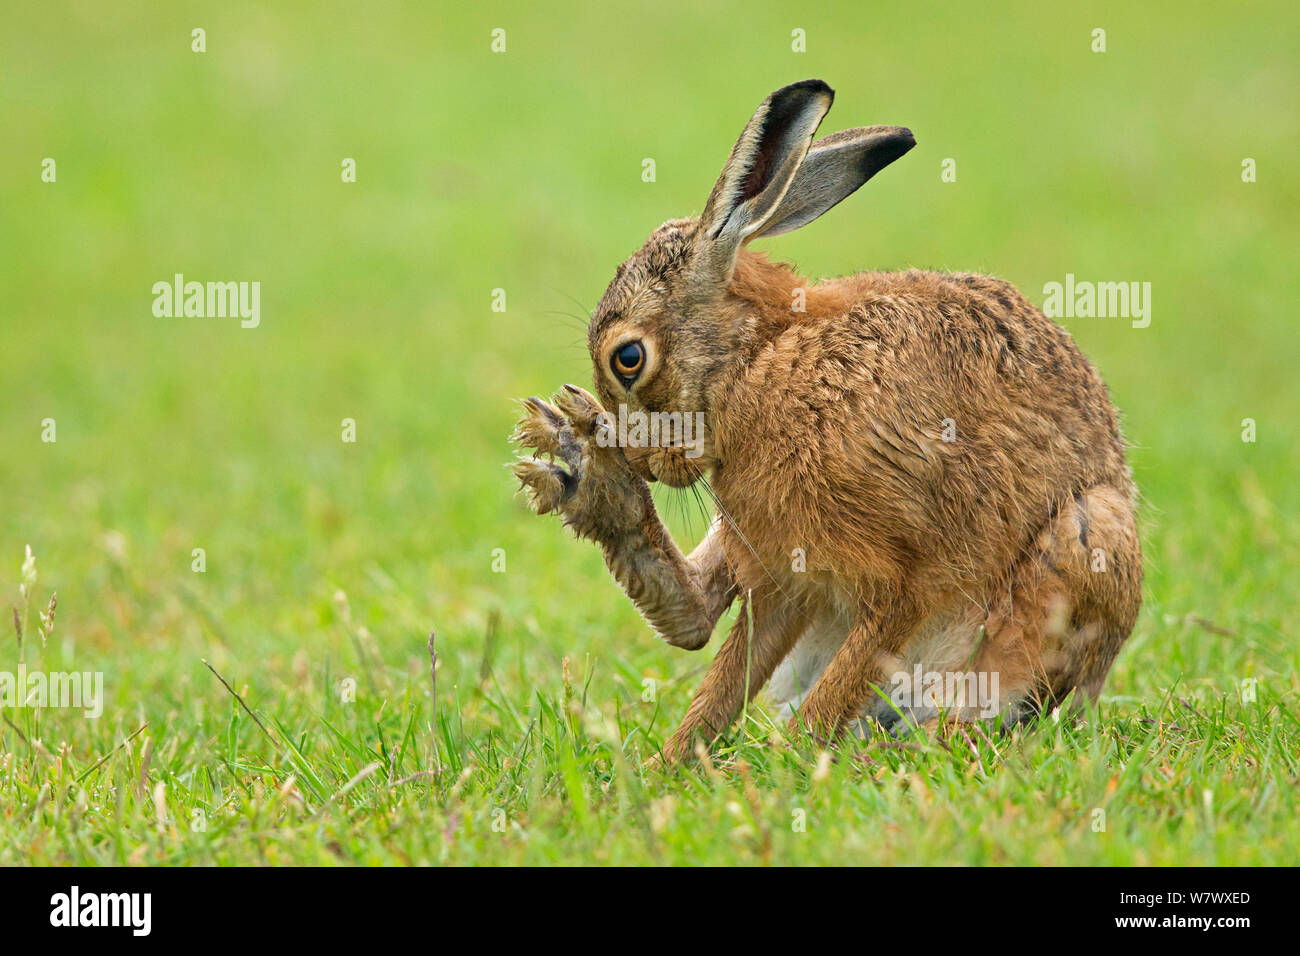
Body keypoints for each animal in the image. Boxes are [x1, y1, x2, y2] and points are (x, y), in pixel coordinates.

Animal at [511, 79, 1142, 764]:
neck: (758, 361)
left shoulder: (901, 576)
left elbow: (839, 681)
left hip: (1085, 543)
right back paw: (588, 480)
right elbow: (725, 680)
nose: (649, 464)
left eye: (628, 358)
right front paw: (670, 764)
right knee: (697, 619)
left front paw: (778, 763)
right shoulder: (785, 577)